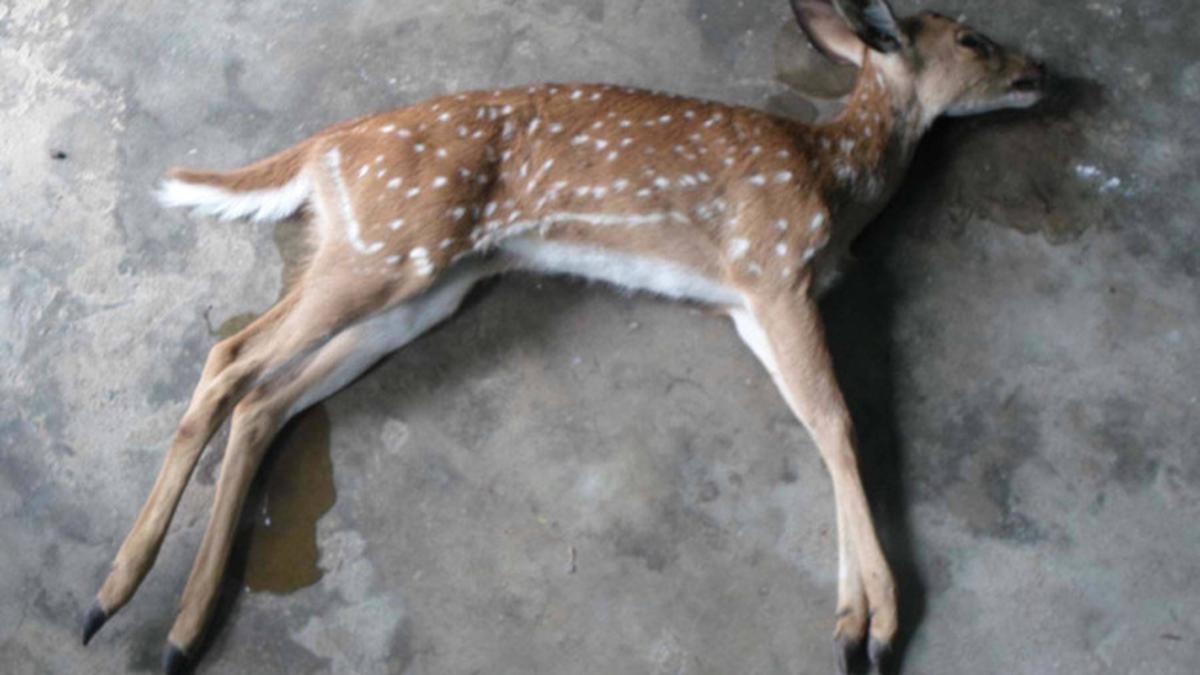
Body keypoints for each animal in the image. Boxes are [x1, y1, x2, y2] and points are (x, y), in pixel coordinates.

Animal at [81, 1, 1048, 672]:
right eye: (971, 38)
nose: (1043, 68)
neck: (838, 181)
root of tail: (326, 146)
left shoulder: (747, 303)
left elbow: (819, 427)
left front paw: (852, 620)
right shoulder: (773, 269)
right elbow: (843, 423)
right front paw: (875, 627)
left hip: (424, 286)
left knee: (264, 398)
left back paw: (181, 631)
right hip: (386, 248)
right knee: (230, 357)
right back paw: (111, 594)